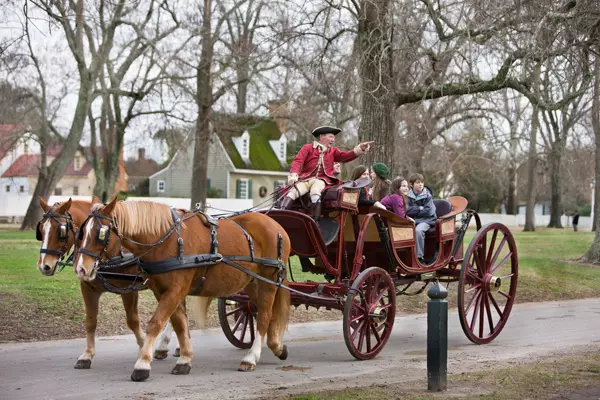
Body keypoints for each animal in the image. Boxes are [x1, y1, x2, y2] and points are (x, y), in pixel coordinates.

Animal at [36, 195, 177, 368]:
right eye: (41, 230)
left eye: (60, 231)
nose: (44, 266)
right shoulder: (88, 288)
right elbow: (90, 321)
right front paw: (87, 355)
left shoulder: (129, 289)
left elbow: (132, 321)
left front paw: (144, 346)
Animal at [72, 198, 292, 382]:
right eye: (82, 233)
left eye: (101, 233)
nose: (81, 268)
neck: (166, 239)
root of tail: (276, 225)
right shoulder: (162, 290)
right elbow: (179, 323)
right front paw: (184, 359)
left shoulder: (175, 288)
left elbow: (156, 323)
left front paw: (143, 364)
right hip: (252, 282)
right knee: (261, 311)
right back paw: (277, 346)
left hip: (269, 281)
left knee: (264, 315)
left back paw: (251, 357)